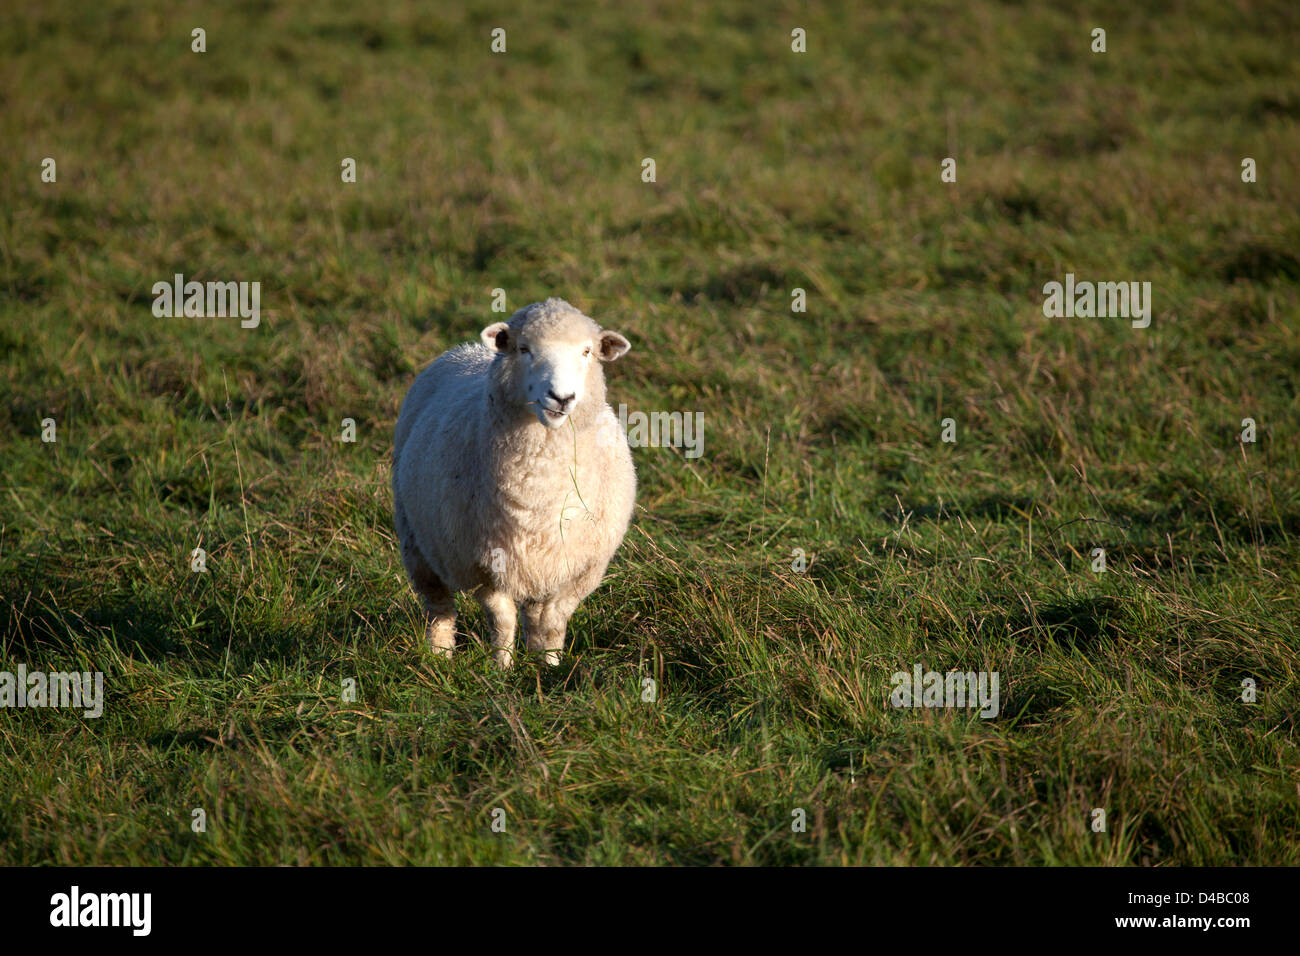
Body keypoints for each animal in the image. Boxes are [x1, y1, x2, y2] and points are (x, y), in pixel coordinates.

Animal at [392, 298, 636, 667]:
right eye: (524, 349)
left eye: (587, 352)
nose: (561, 397)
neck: (540, 489)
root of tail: (467, 349)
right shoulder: (482, 563)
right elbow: (502, 620)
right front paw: (501, 668)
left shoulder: (581, 569)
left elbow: (552, 623)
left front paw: (549, 668)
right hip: (416, 541)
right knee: (439, 607)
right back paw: (439, 656)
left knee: (533, 615)